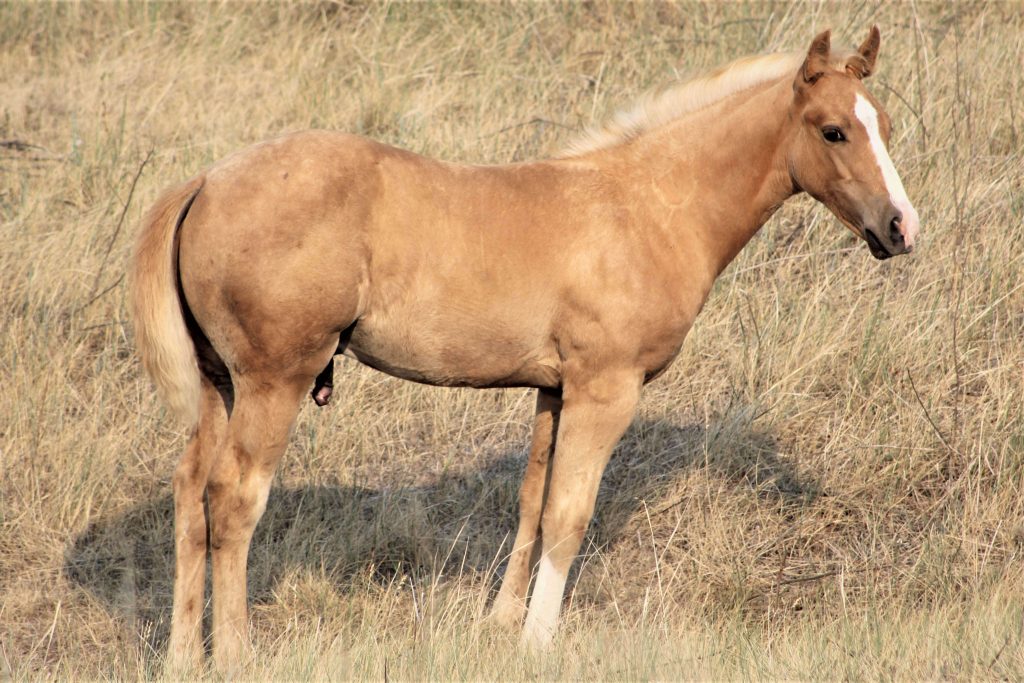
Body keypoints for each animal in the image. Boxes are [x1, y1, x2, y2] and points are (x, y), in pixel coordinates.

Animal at [130, 25, 919, 671]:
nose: (901, 226)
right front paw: (540, 640)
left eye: (882, 124)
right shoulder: (606, 388)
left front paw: (501, 624)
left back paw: (182, 656)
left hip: (220, 384)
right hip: (274, 381)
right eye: (833, 131)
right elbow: (570, 514)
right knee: (234, 499)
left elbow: (533, 501)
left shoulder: (554, 389)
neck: (649, 206)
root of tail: (205, 181)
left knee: (190, 493)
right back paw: (233, 655)